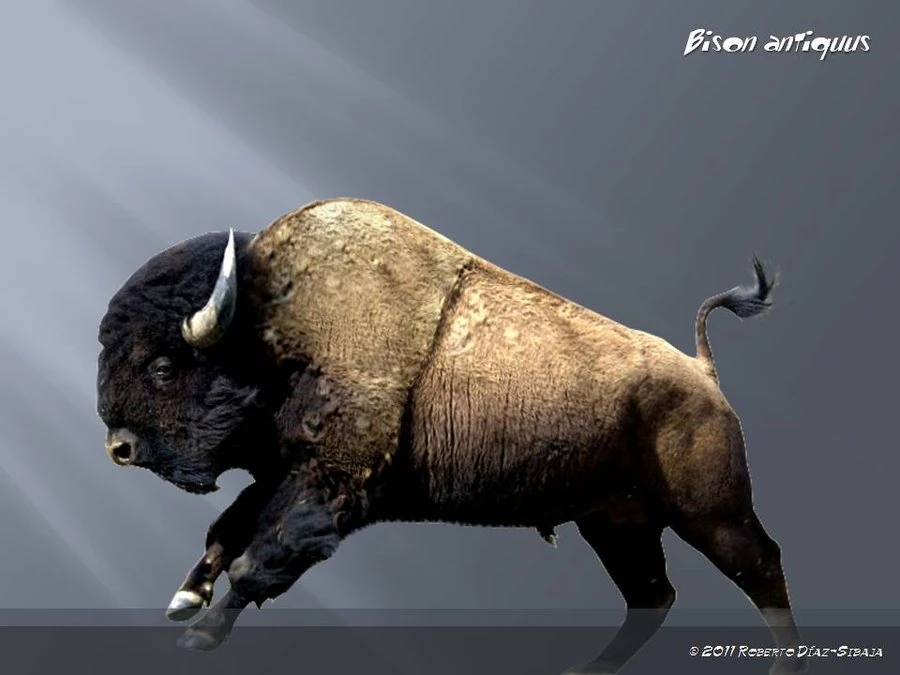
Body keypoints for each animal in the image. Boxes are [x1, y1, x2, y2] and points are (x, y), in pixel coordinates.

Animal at [96, 198, 806, 674]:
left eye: (163, 366)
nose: (118, 448)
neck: (275, 324)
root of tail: (700, 372)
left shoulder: (327, 485)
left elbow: (260, 554)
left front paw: (200, 633)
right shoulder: (283, 471)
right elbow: (226, 530)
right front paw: (185, 598)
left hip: (709, 513)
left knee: (760, 565)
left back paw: (782, 667)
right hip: (613, 522)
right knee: (652, 595)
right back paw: (584, 672)